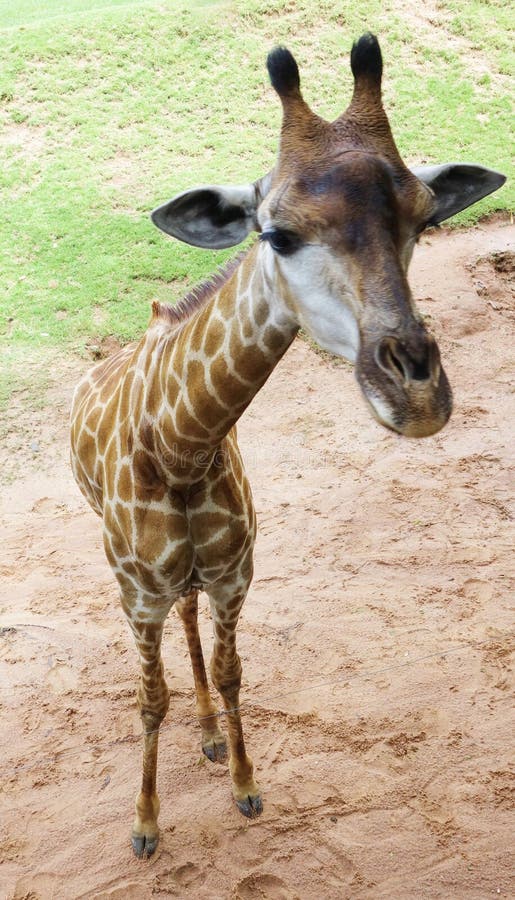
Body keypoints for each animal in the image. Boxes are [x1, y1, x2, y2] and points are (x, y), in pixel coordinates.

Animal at [70, 33, 505, 857]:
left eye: (424, 221)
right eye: (276, 232)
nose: (419, 398)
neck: (181, 447)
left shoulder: (236, 575)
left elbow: (235, 674)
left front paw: (243, 781)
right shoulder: (133, 593)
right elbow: (148, 699)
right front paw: (145, 825)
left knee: (192, 623)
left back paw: (210, 733)